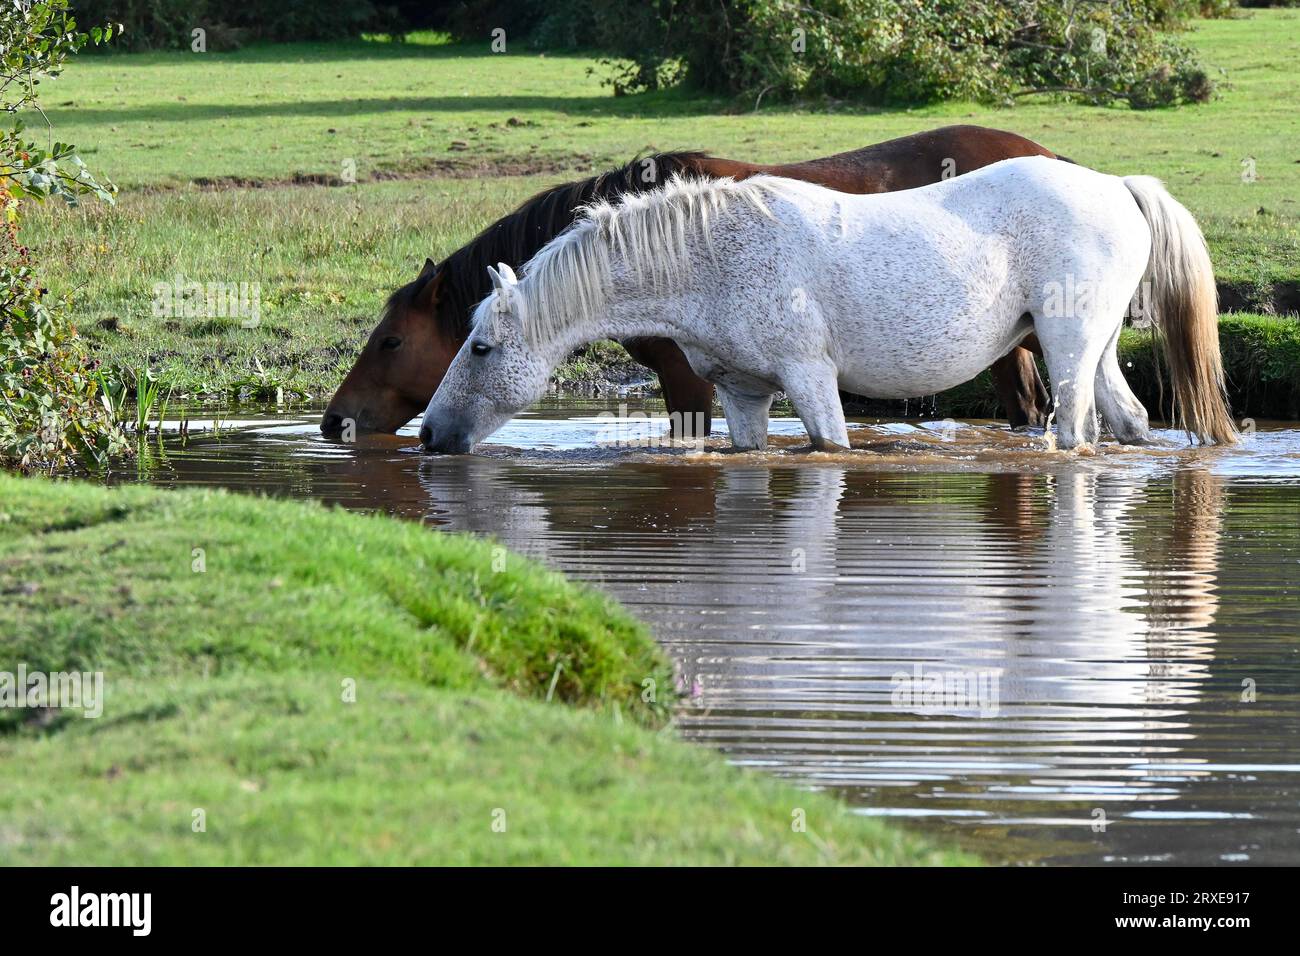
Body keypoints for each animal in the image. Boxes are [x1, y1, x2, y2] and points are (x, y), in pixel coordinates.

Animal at [419, 158, 1236, 455]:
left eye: (481, 348)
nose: (428, 435)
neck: (711, 257)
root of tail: (1116, 185)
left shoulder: (809, 380)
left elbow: (830, 447)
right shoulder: (742, 393)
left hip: (1066, 351)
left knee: (1074, 431)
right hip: (1094, 351)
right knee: (1130, 422)